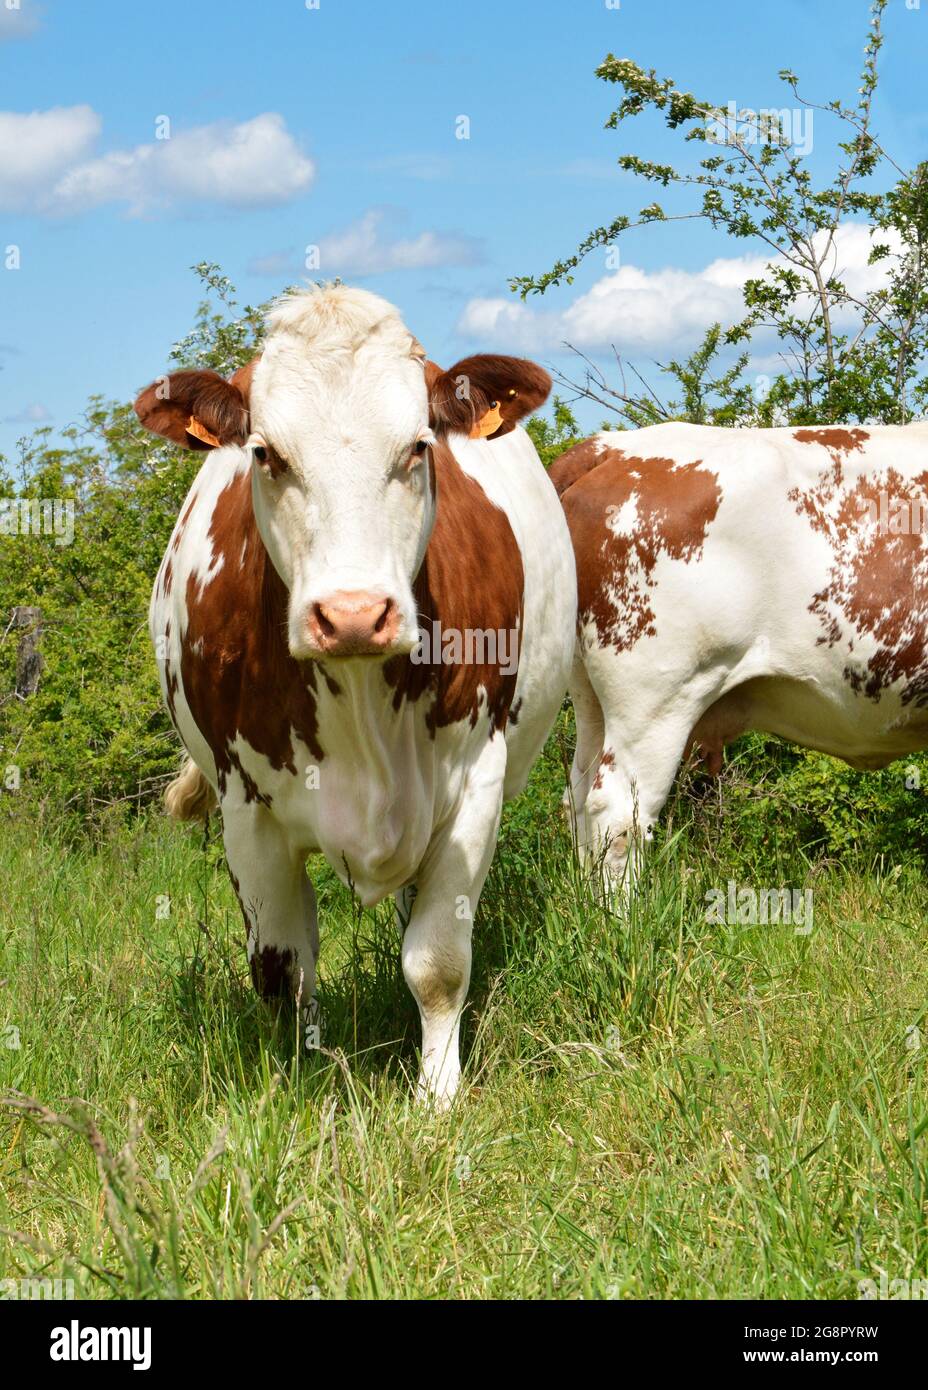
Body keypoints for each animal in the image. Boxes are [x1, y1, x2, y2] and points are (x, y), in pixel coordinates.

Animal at [136, 285, 576, 1106]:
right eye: (266, 454)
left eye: (418, 447)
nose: (351, 615)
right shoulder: (247, 809)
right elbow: (282, 968)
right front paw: (298, 1075)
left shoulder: (475, 786)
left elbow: (437, 961)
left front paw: (437, 1094)